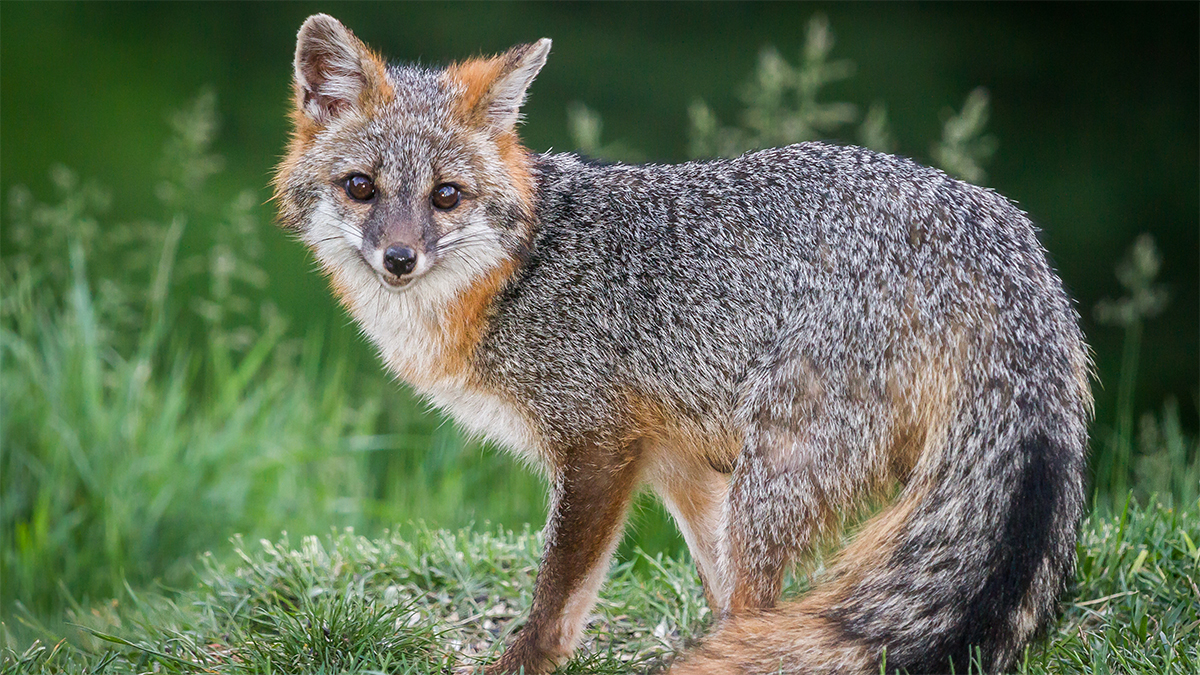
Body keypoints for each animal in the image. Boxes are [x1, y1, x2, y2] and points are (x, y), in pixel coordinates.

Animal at [274, 14, 1092, 675]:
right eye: (361, 187)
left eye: (446, 196)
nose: (399, 259)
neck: (518, 272)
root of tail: (996, 231)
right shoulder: (678, 464)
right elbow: (717, 593)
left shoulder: (598, 448)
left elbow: (556, 606)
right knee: (758, 607)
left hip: (776, 473)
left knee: (764, 602)